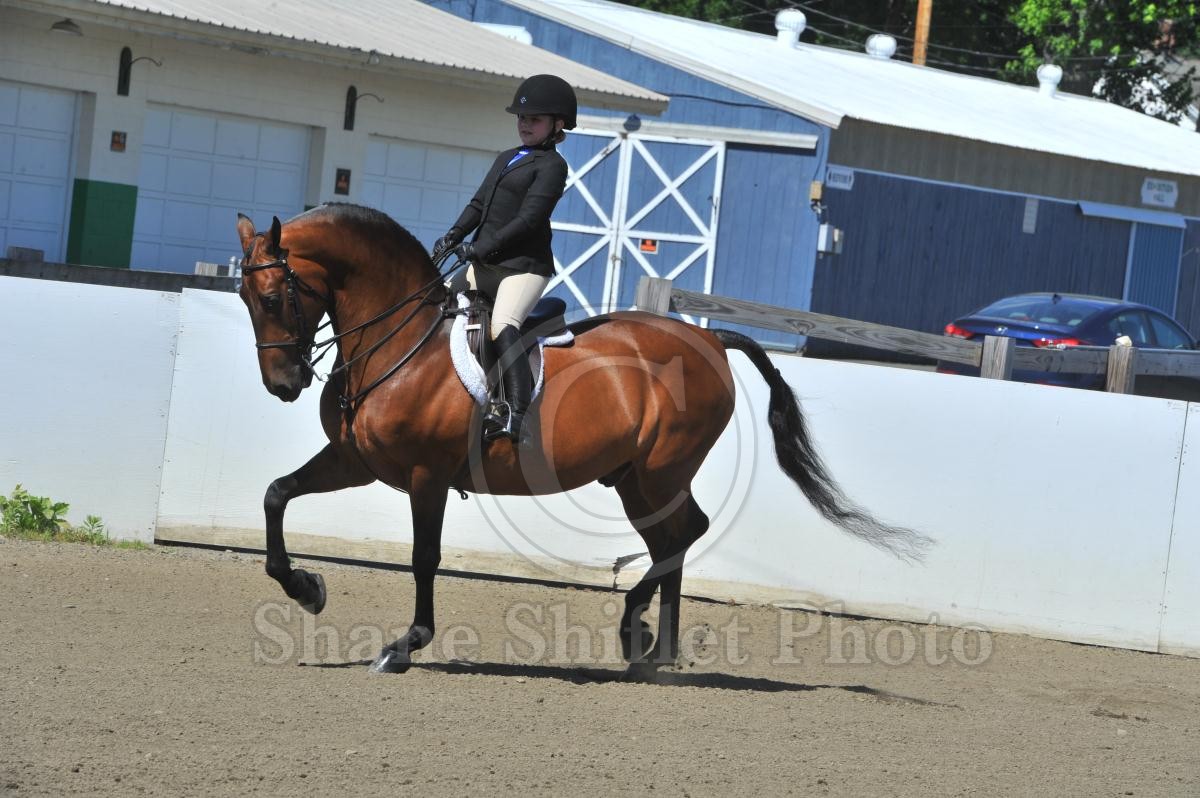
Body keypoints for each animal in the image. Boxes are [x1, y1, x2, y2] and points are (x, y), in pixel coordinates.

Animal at [234, 203, 930, 676]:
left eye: (271, 295)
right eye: (244, 295)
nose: (283, 383)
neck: (399, 343)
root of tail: (708, 338)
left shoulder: (426, 476)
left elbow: (423, 557)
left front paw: (405, 646)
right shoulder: (357, 459)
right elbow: (275, 494)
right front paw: (305, 589)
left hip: (660, 469)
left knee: (687, 532)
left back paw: (636, 633)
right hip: (634, 478)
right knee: (672, 539)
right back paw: (656, 650)